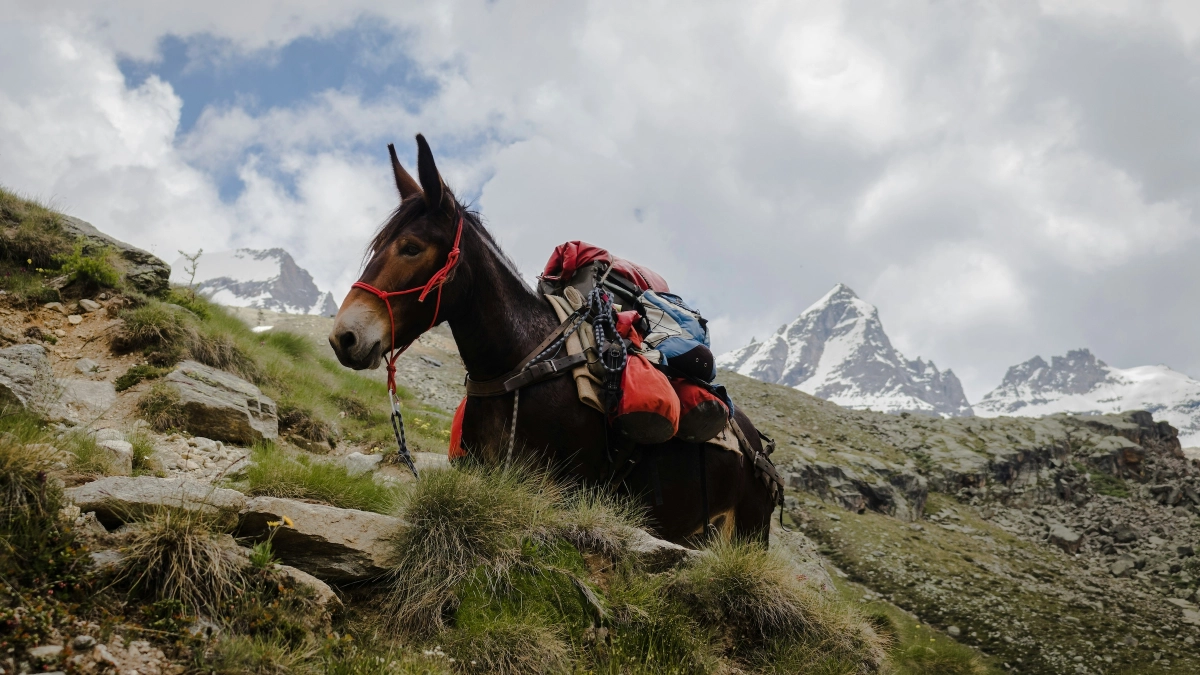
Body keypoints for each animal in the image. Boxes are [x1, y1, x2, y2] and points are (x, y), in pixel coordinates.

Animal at [329, 134, 778, 545]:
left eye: (411, 247)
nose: (343, 337)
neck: (517, 367)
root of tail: (757, 444)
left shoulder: (560, 493)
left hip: (747, 532)